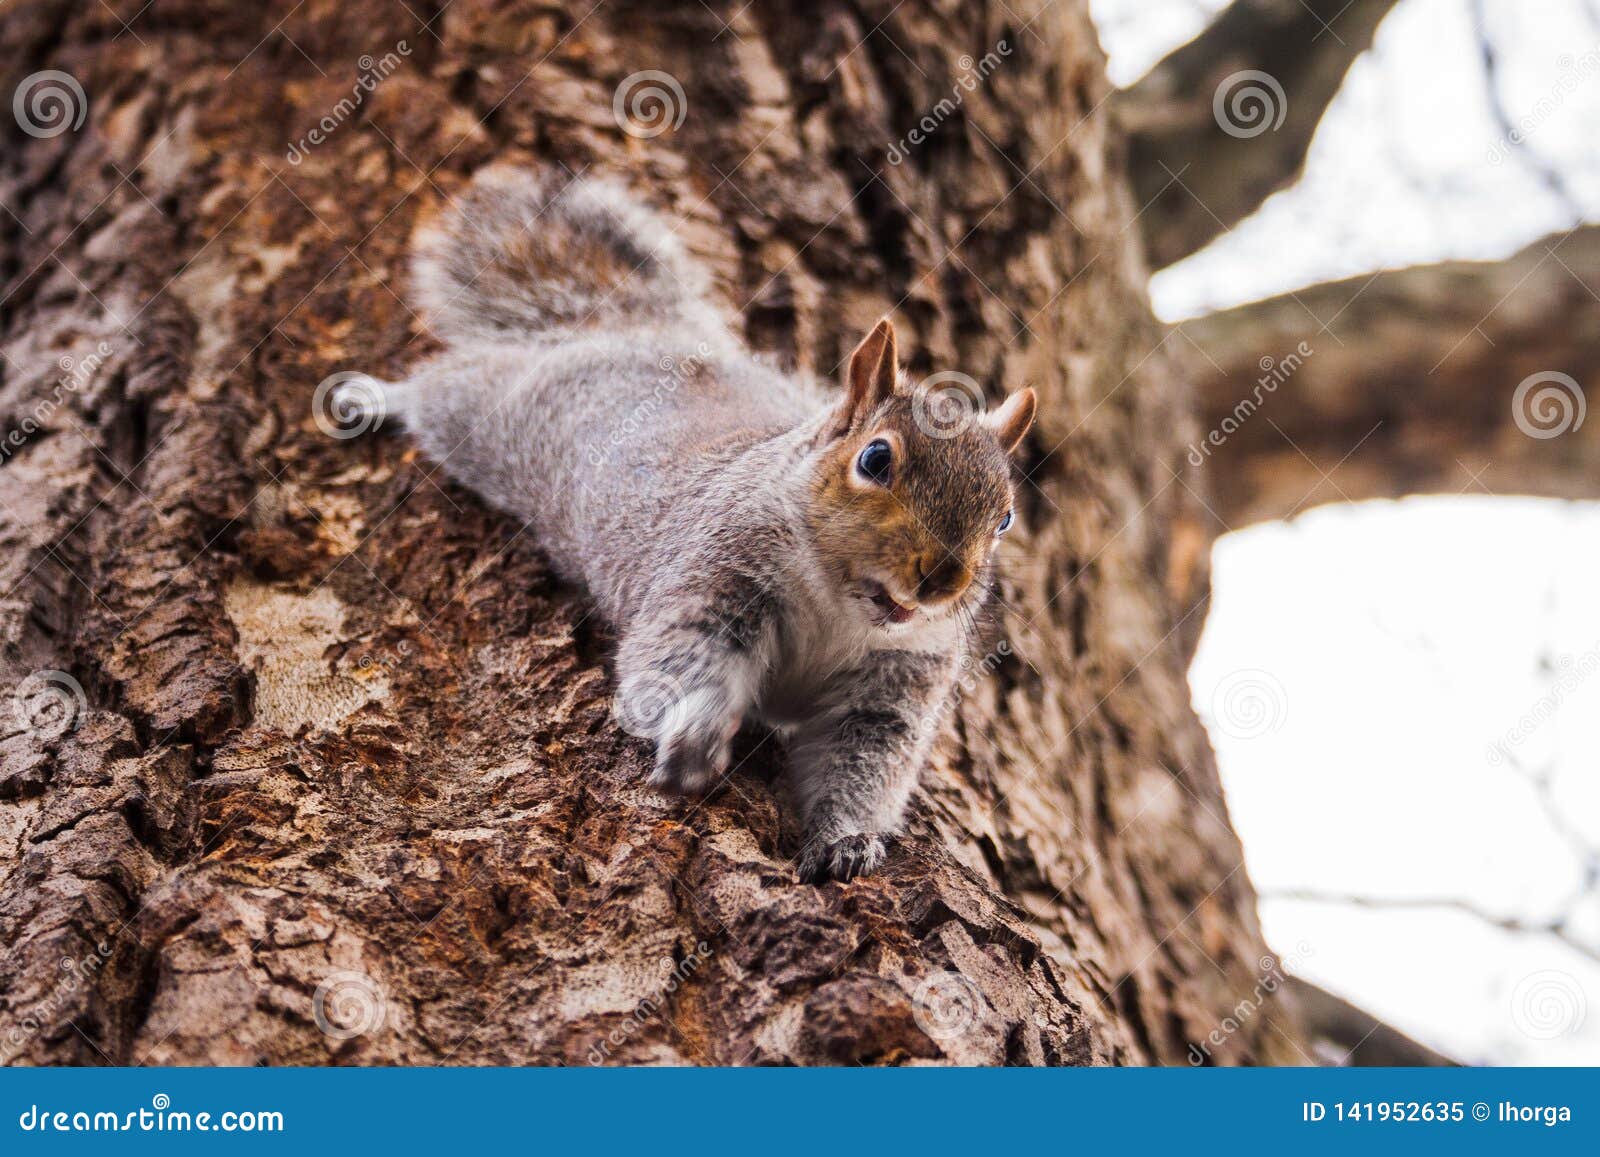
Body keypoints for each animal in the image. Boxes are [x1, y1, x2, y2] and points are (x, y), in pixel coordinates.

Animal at [334, 166, 1035, 882]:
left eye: (1005, 517)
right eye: (874, 459)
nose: (943, 580)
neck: (841, 608)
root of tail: (629, 329)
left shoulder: (895, 685)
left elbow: (861, 765)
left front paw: (848, 840)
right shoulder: (713, 574)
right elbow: (680, 660)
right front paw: (696, 737)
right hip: (492, 416)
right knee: (445, 386)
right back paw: (375, 396)